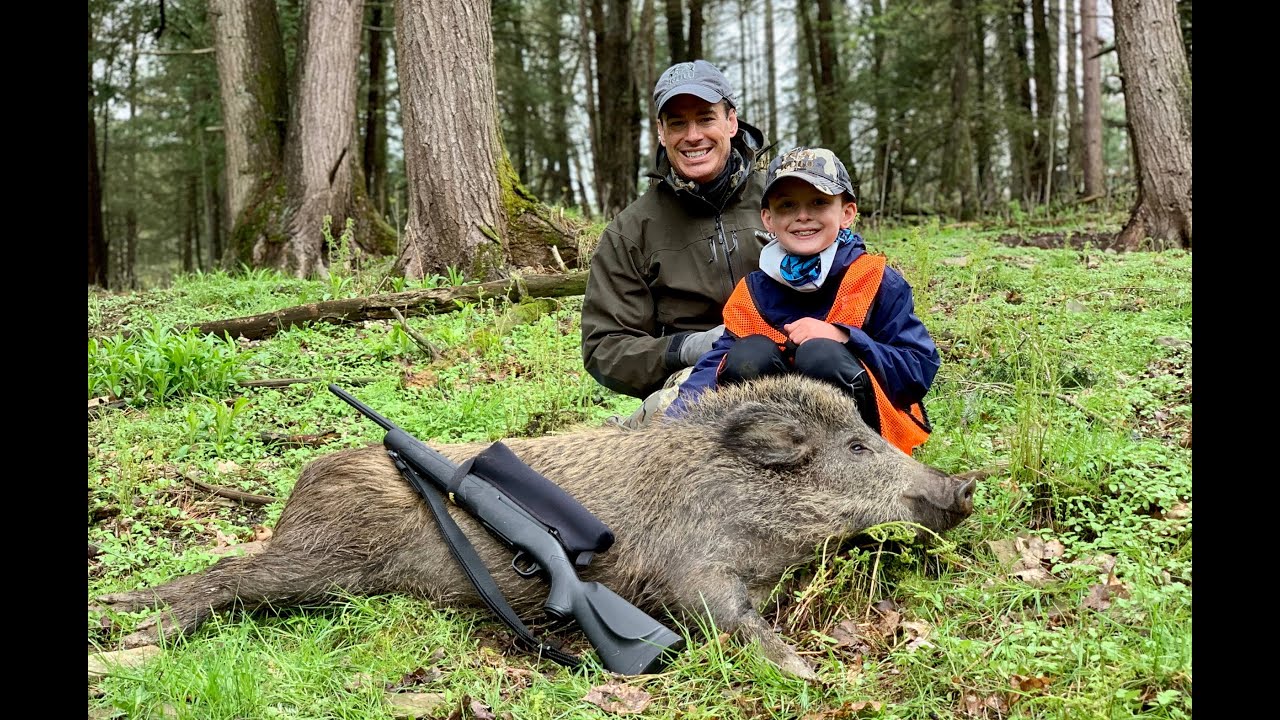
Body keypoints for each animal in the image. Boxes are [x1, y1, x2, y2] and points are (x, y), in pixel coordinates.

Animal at [94, 374, 975, 678]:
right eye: (857, 446)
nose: (965, 485)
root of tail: (302, 485)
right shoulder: (691, 570)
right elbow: (734, 620)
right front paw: (808, 676)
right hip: (316, 558)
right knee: (221, 580)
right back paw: (132, 635)